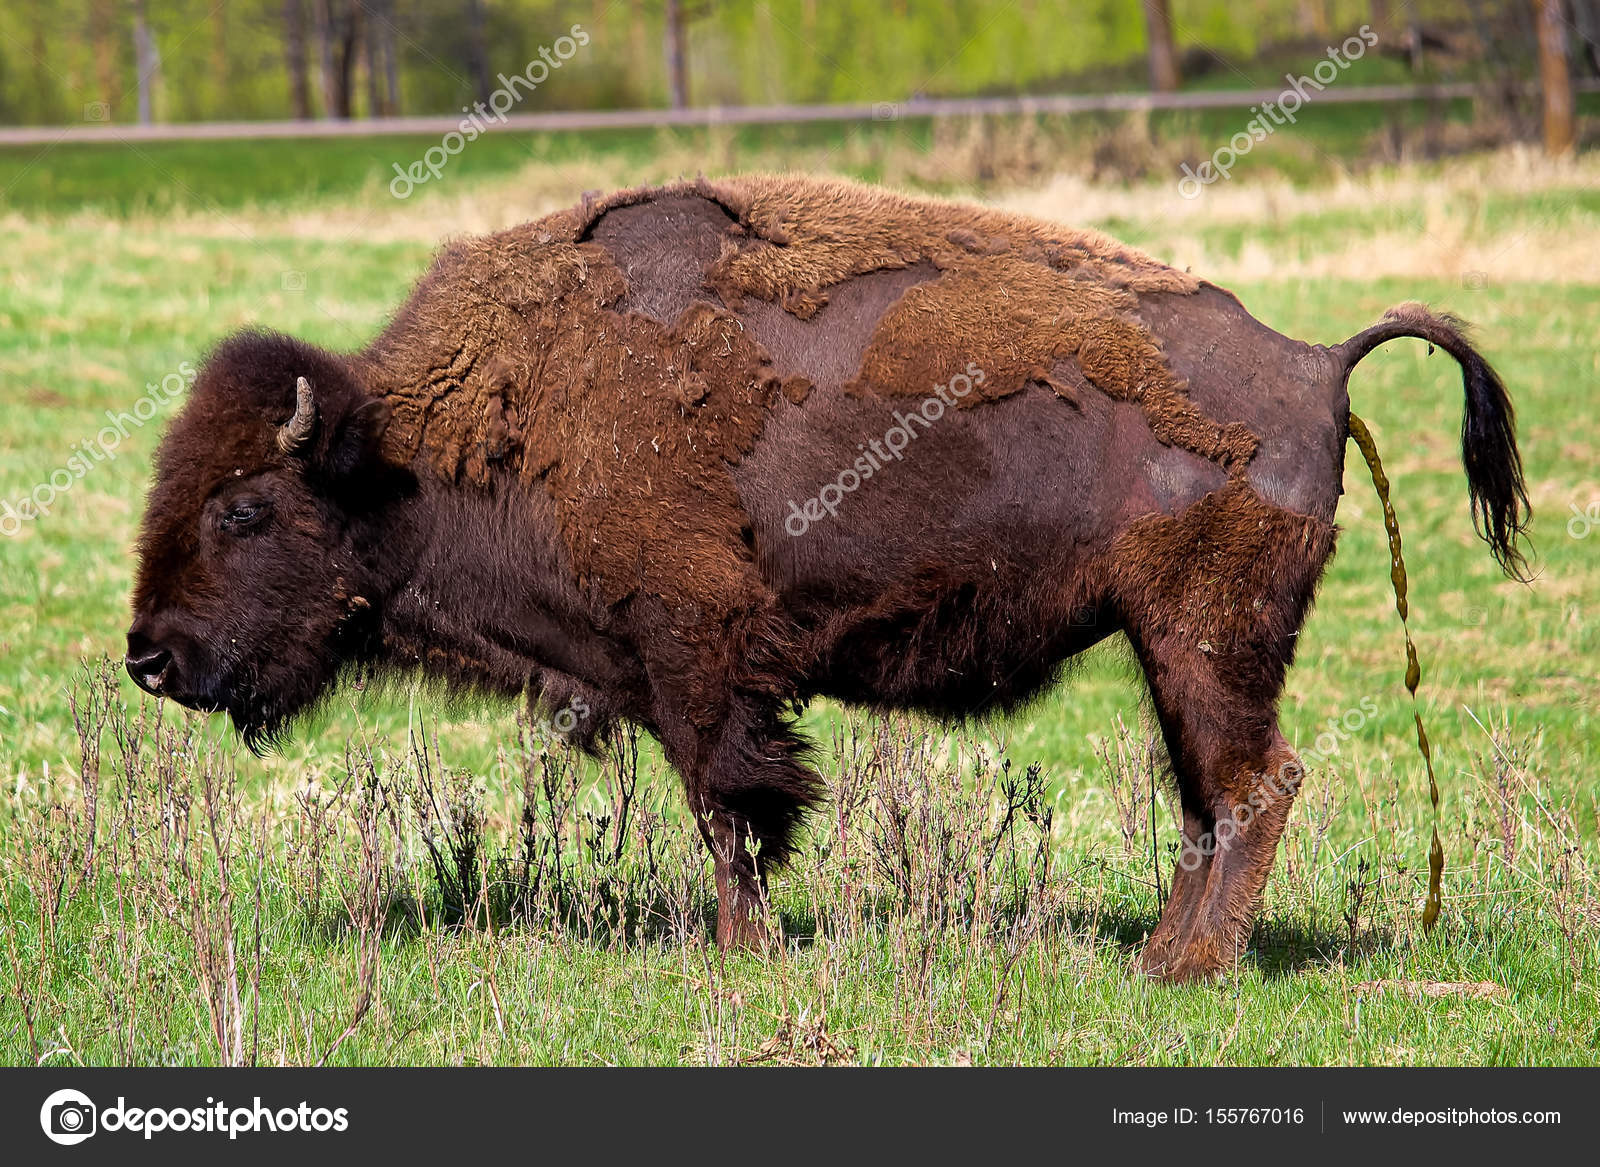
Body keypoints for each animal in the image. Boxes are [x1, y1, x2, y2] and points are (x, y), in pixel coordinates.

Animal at [126, 175, 1528, 981]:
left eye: (246, 508)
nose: (150, 655)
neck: (429, 445)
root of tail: (1314, 362)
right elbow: (734, 808)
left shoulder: (695, 656)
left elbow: (730, 806)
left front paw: (744, 955)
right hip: (1169, 652)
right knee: (1208, 799)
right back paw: (1156, 960)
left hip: (1205, 638)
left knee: (1254, 786)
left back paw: (1190, 972)